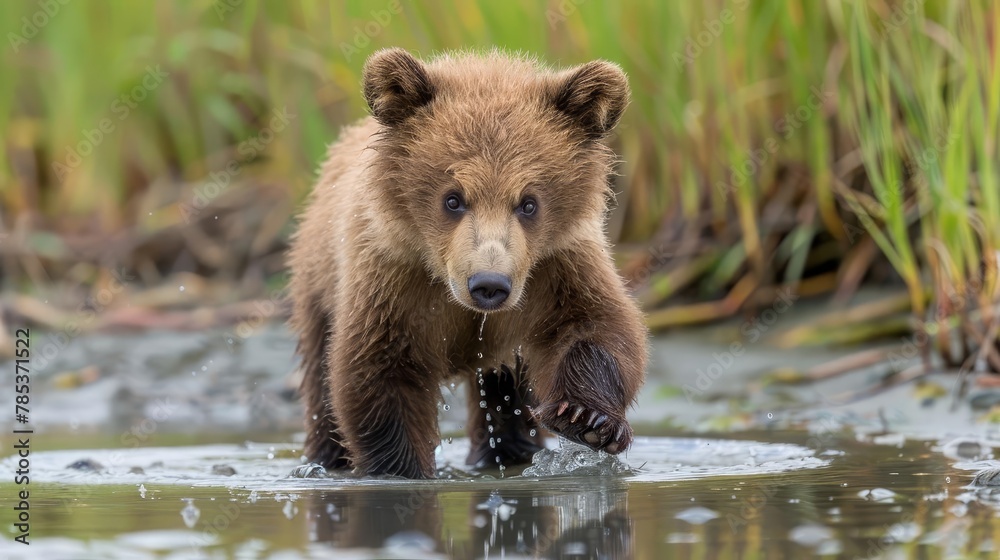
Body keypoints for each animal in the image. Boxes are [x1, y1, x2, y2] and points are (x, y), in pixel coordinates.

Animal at [288, 48, 648, 479]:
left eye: (529, 203)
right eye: (453, 198)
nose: (489, 284)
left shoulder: (557, 268)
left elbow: (596, 327)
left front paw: (588, 420)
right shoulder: (392, 278)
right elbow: (378, 370)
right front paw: (401, 468)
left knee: (504, 392)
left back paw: (508, 450)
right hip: (317, 282)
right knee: (320, 380)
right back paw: (326, 457)